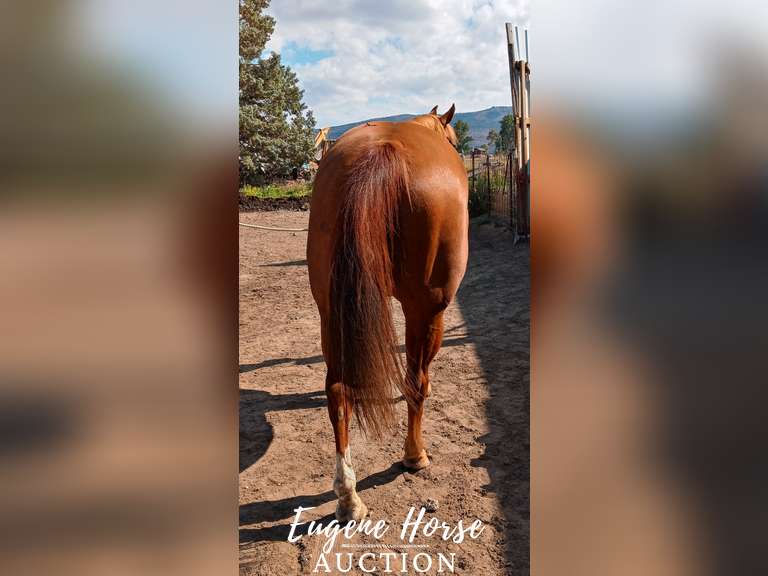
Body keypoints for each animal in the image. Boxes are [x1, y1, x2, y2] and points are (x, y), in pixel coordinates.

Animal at [307, 104, 469, 522]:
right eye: (454, 139)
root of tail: (383, 151)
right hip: (425, 309)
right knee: (416, 381)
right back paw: (414, 455)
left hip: (330, 312)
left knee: (338, 392)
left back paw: (349, 498)